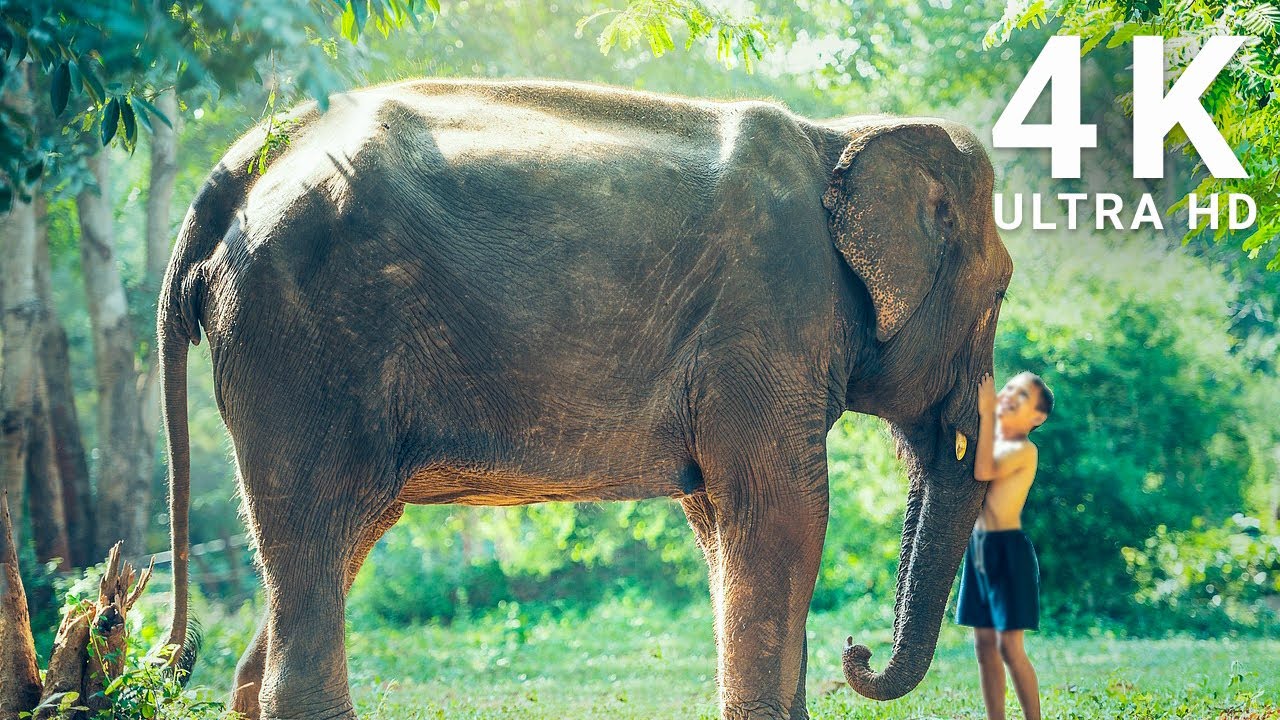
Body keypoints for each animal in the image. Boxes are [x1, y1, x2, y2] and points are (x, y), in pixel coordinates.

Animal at [156, 78, 1012, 720]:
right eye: (1003, 290)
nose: (857, 651)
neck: (840, 136)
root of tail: (242, 165)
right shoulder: (766, 315)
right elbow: (783, 512)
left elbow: (723, 524)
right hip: (304, 344)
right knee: (318, 528)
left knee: (335, 542)